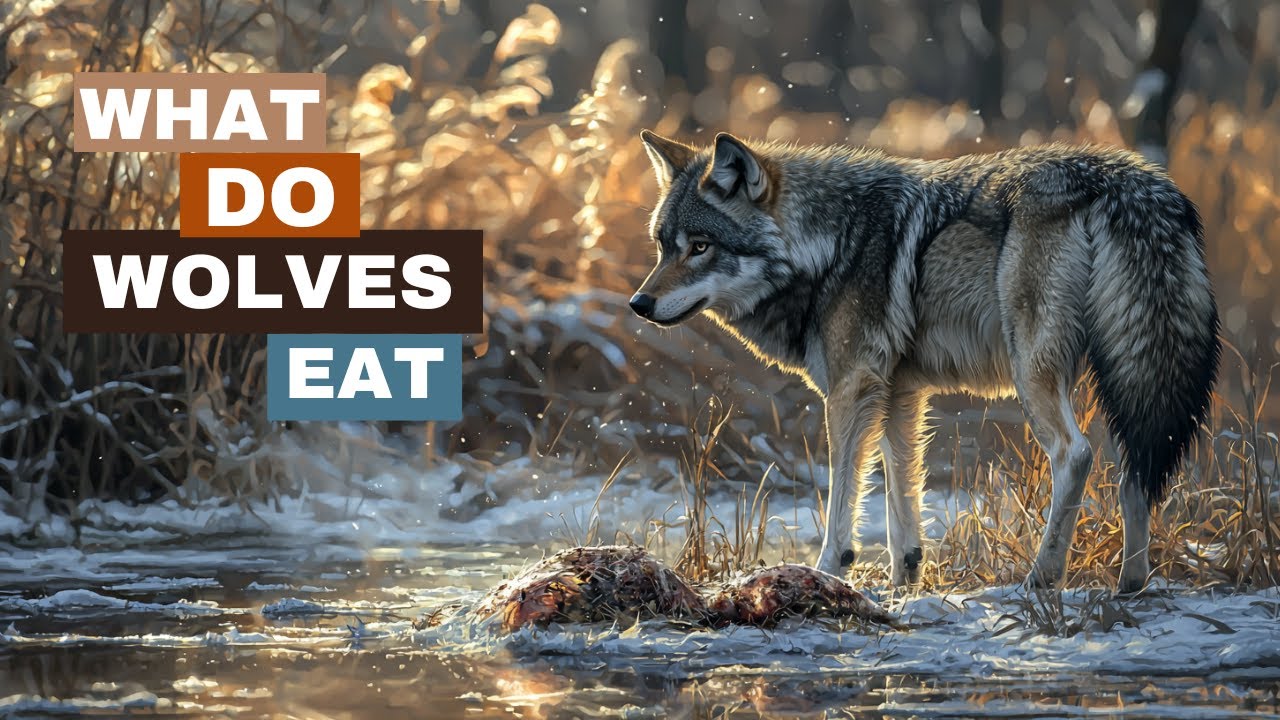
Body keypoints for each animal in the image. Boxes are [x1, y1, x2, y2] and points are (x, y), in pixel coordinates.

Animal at [630, 130, 1220, 593]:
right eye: (662, 245)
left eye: (700, 246)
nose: (638, 304)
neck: (832, 244)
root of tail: (1130, 183)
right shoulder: (900, 393)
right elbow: (900, 501)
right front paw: (904, 582)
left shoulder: (851, 387)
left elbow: (843, 497)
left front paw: (827, 572)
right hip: (1128, 379)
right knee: (1137, 469)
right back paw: (1132, 584)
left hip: (1036, 374)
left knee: (1075, 454)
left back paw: (1043, 576)